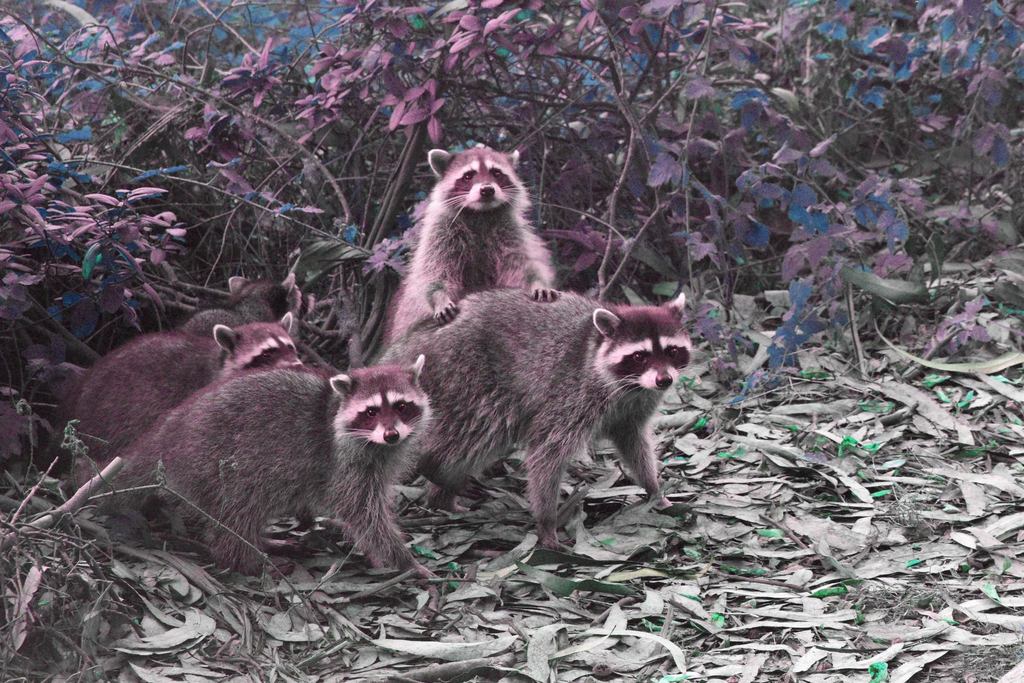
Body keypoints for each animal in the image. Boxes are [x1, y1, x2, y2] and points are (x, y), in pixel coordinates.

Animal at [107, 358, 431, 576]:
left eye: (402, 406)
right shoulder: (344, 464)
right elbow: (363, 514)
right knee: (238, 511)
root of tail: (169, 429)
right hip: (217, 460)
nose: (392, 435)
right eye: (371, 411)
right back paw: (246, 559)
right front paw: (403, 559)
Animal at [383, 289, 691, 549]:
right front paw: (547, 522)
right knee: (481, 430)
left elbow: (634, 444)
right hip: (466, 377)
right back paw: (437, 469)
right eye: (639, 356)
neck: (631, 385)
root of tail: (412, 342)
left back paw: (442, 496)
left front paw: (654, 488)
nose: (664, 380)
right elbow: (547, 453)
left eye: (672, 351)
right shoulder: (572, 394)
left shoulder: (634, 408)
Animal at [384, 145, 558, 343]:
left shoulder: (510, 233)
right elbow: (433, 272)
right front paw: (439, 297)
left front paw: (538, 282)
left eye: (496, 173)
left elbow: (521, 264)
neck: (480, 214)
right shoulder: (440, 234)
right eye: (468, 176)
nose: (487, 190)